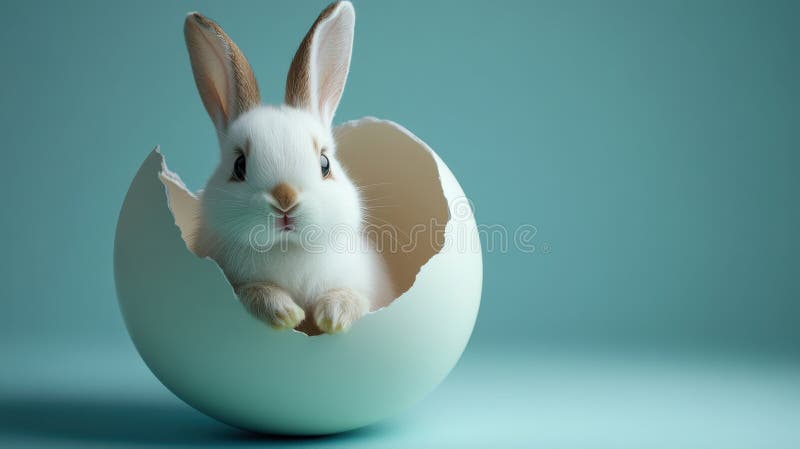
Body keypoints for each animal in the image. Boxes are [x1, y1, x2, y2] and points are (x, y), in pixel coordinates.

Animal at [184, 1, 394, 334]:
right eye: (239, 166)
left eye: (324, 164)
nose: (285, 199)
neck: (287, 249)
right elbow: (254, 291)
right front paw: (285, 313)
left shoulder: (366, 289)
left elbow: (354, 297)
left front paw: (333, 315)